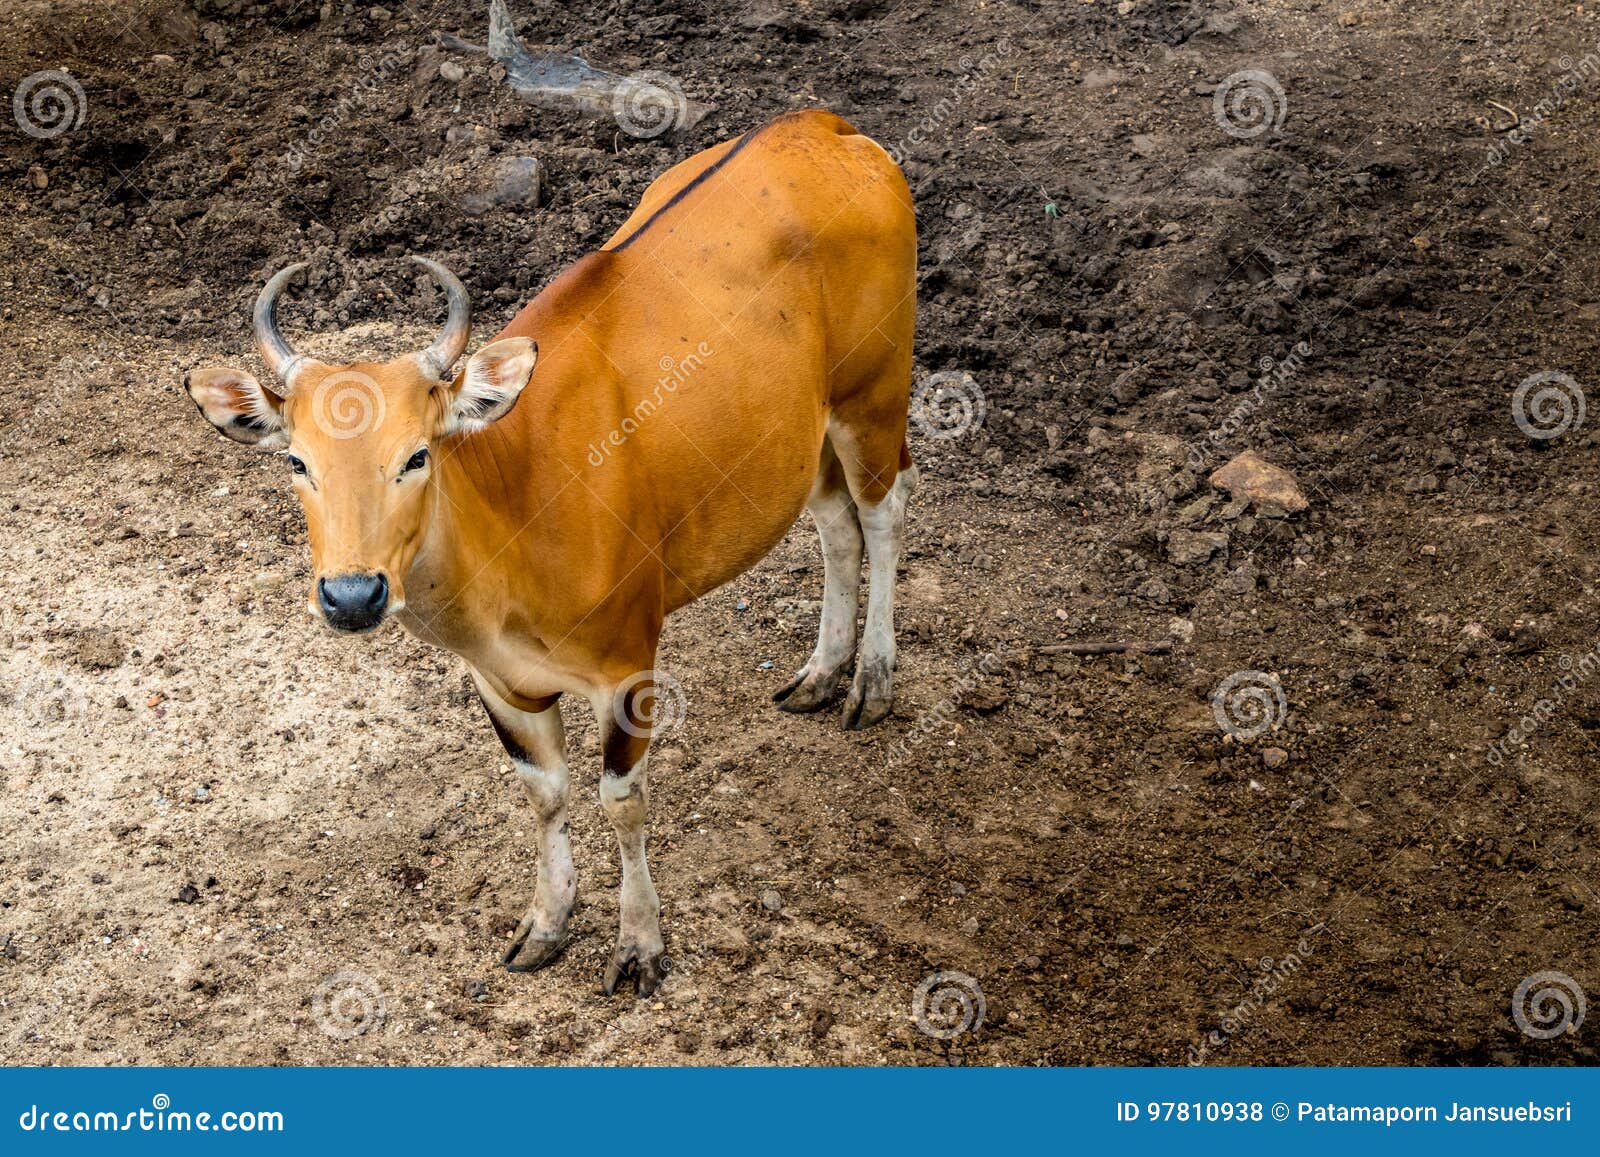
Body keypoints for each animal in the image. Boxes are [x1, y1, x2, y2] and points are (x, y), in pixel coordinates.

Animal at [185, 110, 917, 996]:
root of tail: (821, 126)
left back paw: (872, 680)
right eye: (298, 461)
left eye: (417, 454)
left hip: (873, 395)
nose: (353, 595)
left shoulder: (629, 664)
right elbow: (544, 794)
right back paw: (821, 671)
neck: (515, 524)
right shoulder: (500, 684)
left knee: (883, 512)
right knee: (837, 526)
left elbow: (622, 800)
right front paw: (547, 920)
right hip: (799, 438)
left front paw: (640, 942)